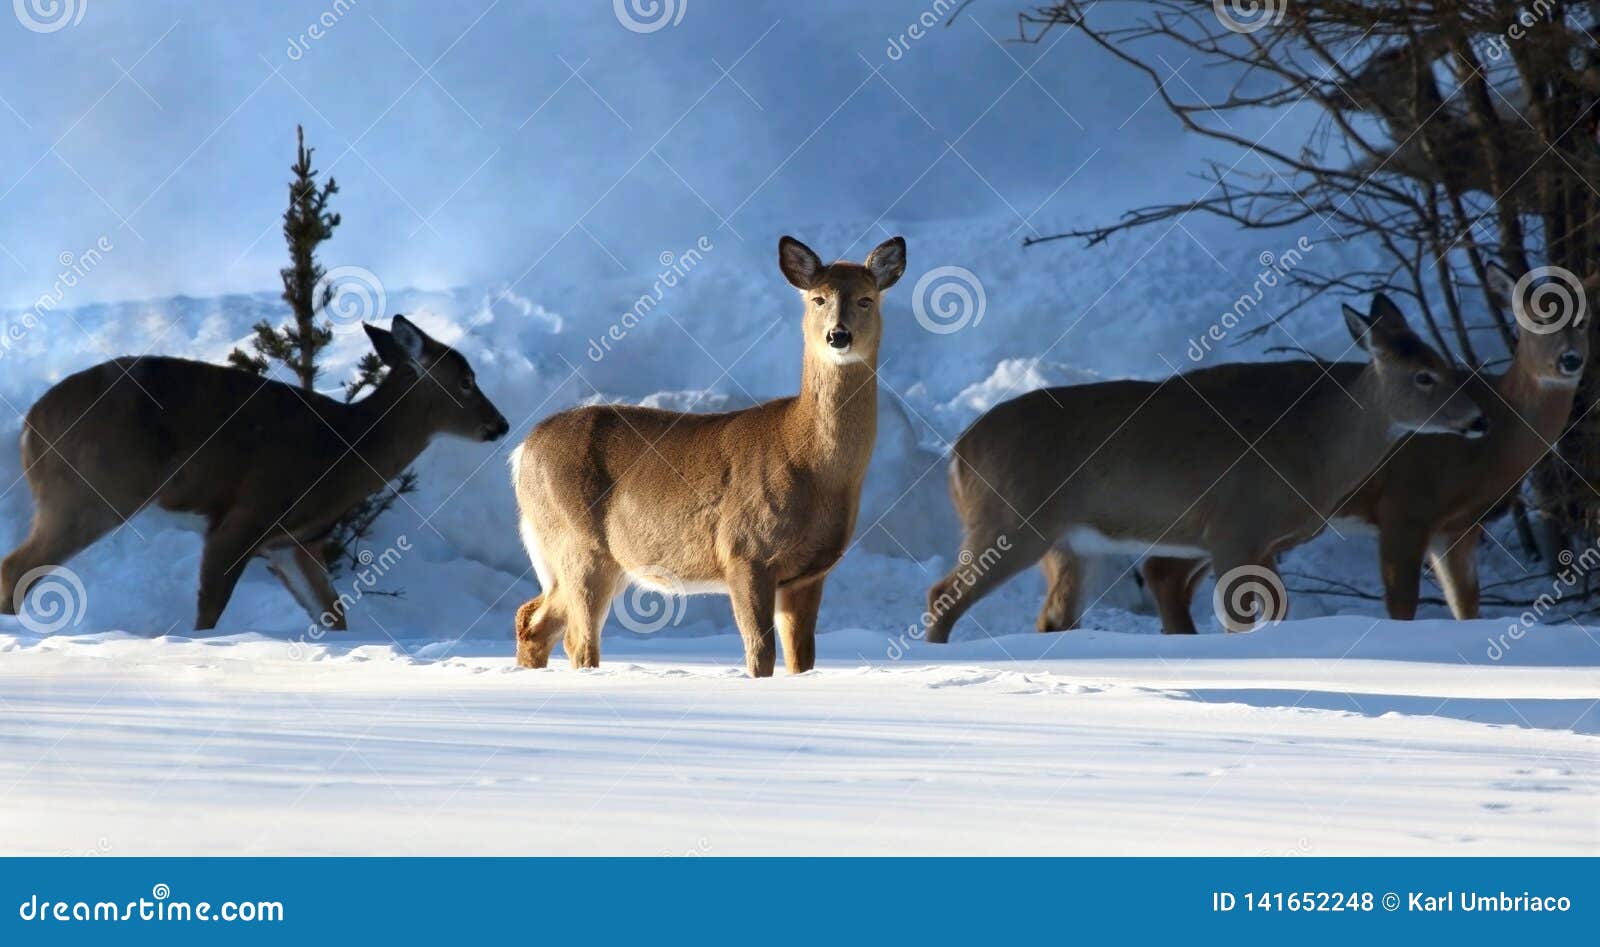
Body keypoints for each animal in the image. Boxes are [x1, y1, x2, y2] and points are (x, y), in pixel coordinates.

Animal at [1, 315, 509, 631]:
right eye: (466, 380)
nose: (500, 425)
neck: (342, 448)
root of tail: (30, 426)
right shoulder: (245, 516)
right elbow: (209, 610)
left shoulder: (291, 543)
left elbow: (333, 615)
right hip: (90, 493)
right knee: (15, 569)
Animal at [509, 235, 906, 677]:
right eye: (818, 298)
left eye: (867, 299)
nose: (839, 336)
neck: (811, 463)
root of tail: (523, 449)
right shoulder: (745, 552)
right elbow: (760, 653)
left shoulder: (808, 574)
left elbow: (802, 659)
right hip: (578, 543)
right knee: (578, 640)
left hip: (594, 558)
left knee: (532, 620)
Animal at [923, 292, 1487, 642]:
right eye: (1423, 376)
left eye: (1444, 361)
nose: (1479, 419)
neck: (1316, 442)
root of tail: (958, 454)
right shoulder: (1233, 527)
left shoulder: (1265, 542)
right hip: (1011, 521)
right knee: (942, 593)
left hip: (1068, 545)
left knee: (1053, 617)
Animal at [1132, 264, 1591, 631]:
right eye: (1531, 317)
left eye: (1585, 318)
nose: (1569, 360)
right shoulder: (1405, 506)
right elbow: (1402, 606)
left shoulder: (1459, 526)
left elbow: (1466, 607)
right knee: (1161, 570)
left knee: (1162, 570)